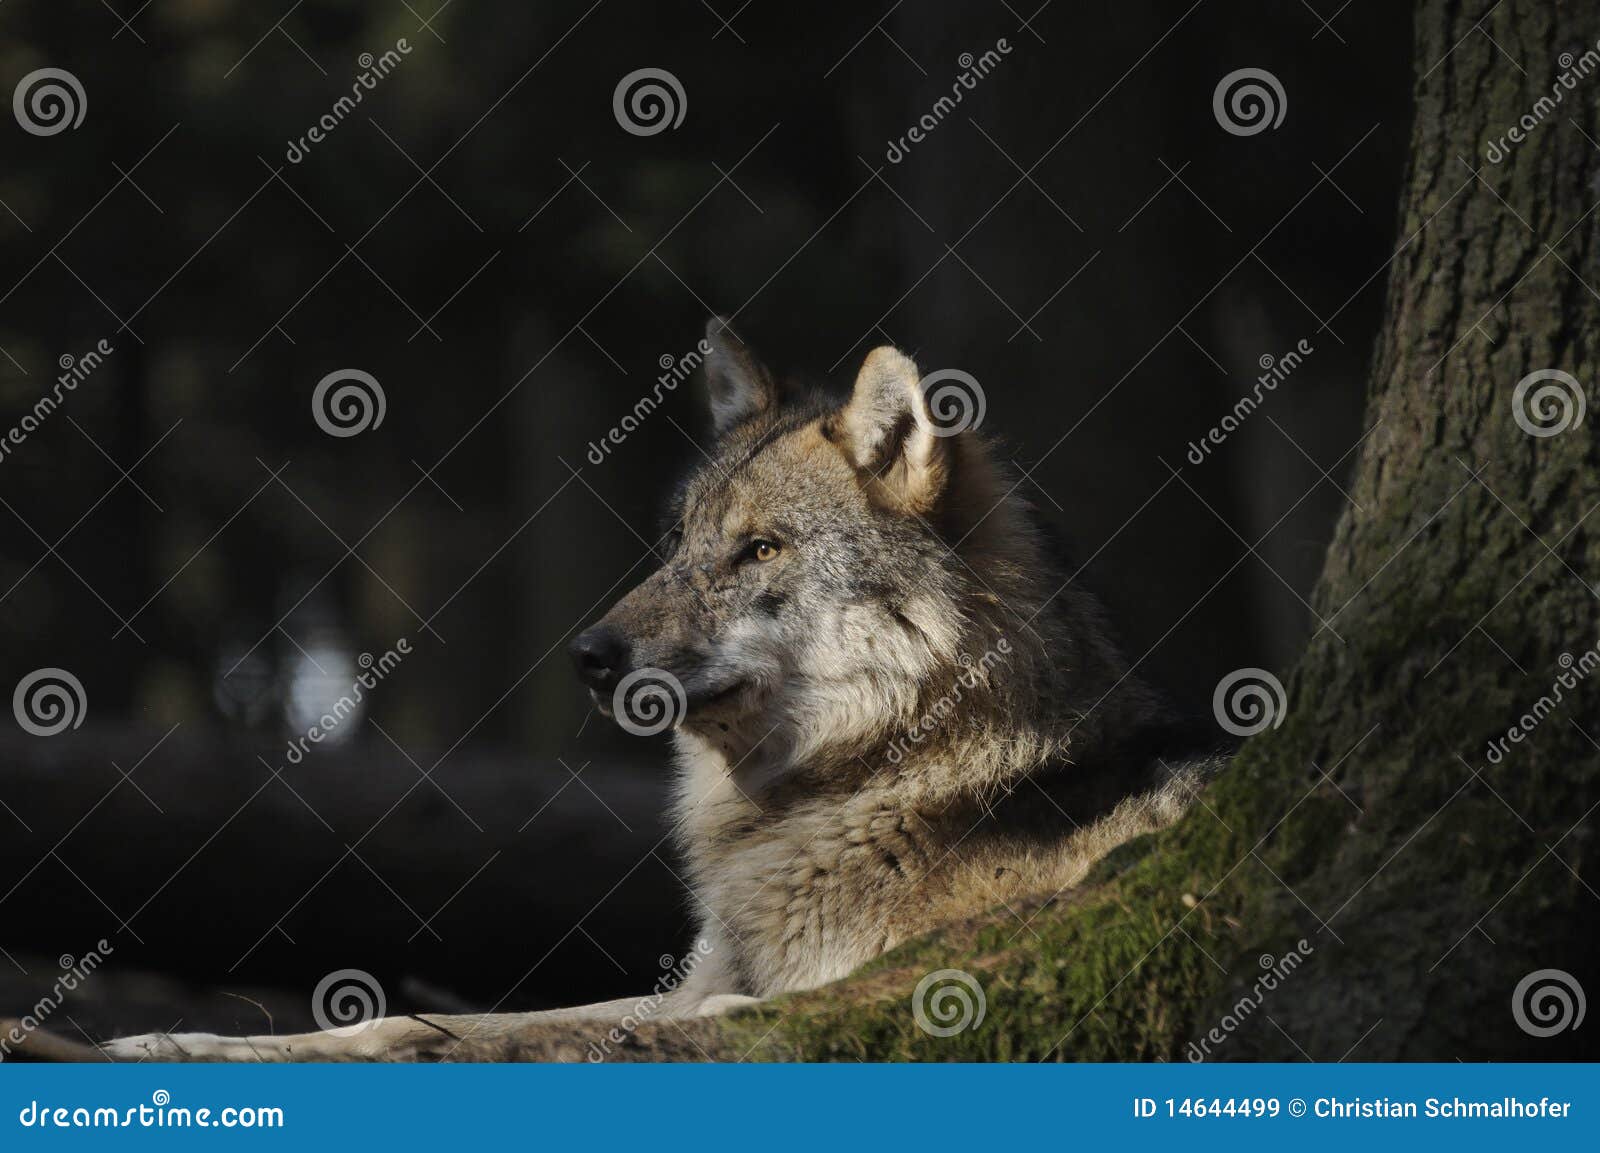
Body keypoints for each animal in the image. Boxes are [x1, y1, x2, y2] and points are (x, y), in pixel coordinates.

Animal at [100, 319, 1218, 1061]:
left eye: (759, 548)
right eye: (676, 541)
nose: (588, 655)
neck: (882, 774)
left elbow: (486, 1041)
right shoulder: (692, 982)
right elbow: (412, 1021)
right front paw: (178, 1042)